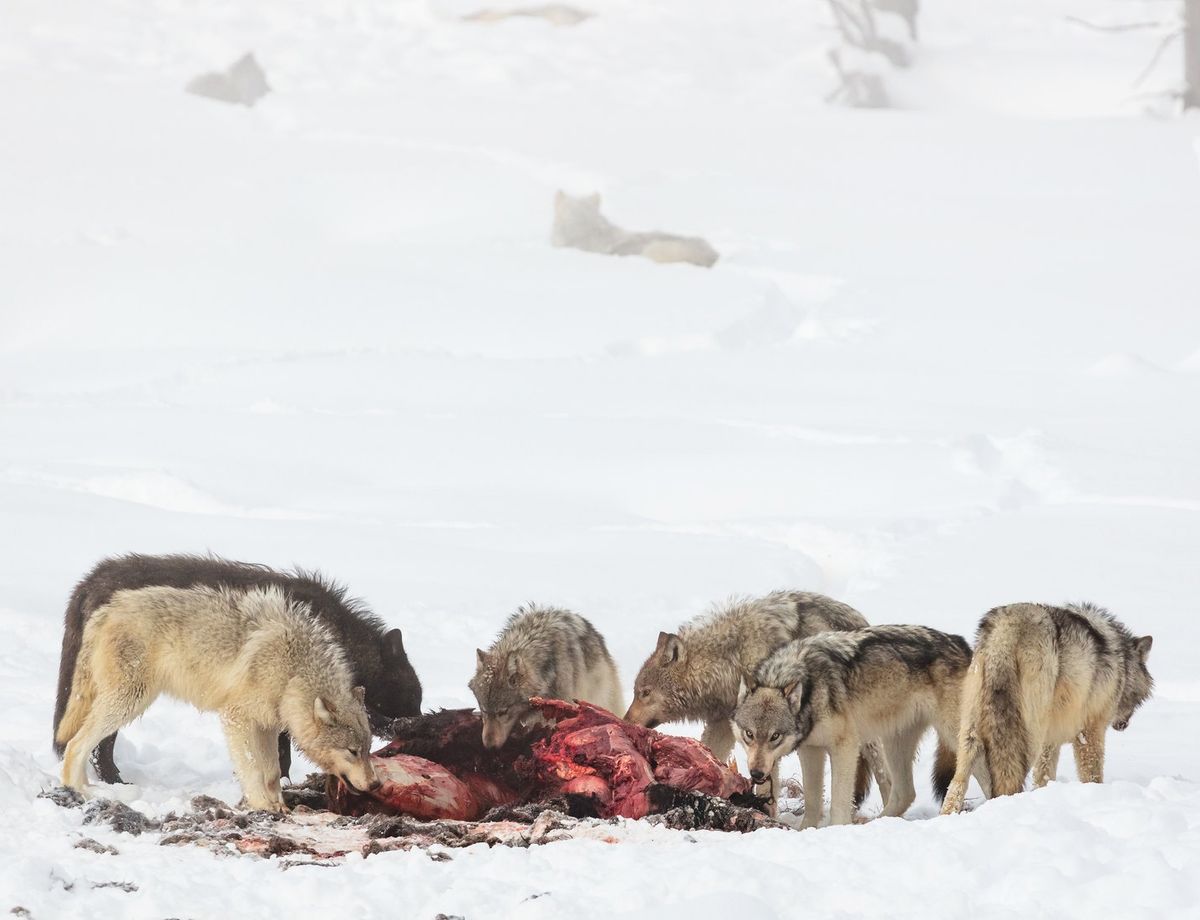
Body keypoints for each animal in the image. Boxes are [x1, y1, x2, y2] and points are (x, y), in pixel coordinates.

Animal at [53, 553, 422, 784]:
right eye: (411, 701)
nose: (415, 725)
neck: (334, 630)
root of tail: (88, 582)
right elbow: (280, 756)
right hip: (130, 691)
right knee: (98, 741)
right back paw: (114, 781)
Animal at [56, 585, 379, 811]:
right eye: (352, 751)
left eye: (366, 749)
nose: (376, 783)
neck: (293, 671)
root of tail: (107, 609)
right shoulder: (237, 718)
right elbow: (252, 768)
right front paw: (261, 805)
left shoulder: (267, 725)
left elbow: (272, 771)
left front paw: (279, 804)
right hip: (128, 702)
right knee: (74, 744)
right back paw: (78, 791)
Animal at [624, 590, 890, 812]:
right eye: (636, 692)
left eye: (645, 693)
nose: (625, 721)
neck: (731, 662)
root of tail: (860, 619)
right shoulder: (725, 725)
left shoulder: (769, 735)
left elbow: (765, 783)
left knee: (885, 775)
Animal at [734, 625, 972, 827]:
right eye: (749, 734)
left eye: (775, 736)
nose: (756, 773)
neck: (811, 687)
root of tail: (960, 642)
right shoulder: (811, 750)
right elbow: (812, 800)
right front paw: (805, 830)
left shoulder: (845, 747)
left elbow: (839, 800)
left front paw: (836, 829)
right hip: (894, 743)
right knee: (906, 793)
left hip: (953, 735)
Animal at [941, 602, 1153, 815]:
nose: (1123, 725)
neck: (1122, 663)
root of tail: (1005, 630)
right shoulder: (1089, 731)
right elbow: (1092, 774)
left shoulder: (1050, 741)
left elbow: (1043, 776)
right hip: (1027, 738)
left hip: (969, 736)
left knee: (956, 785)